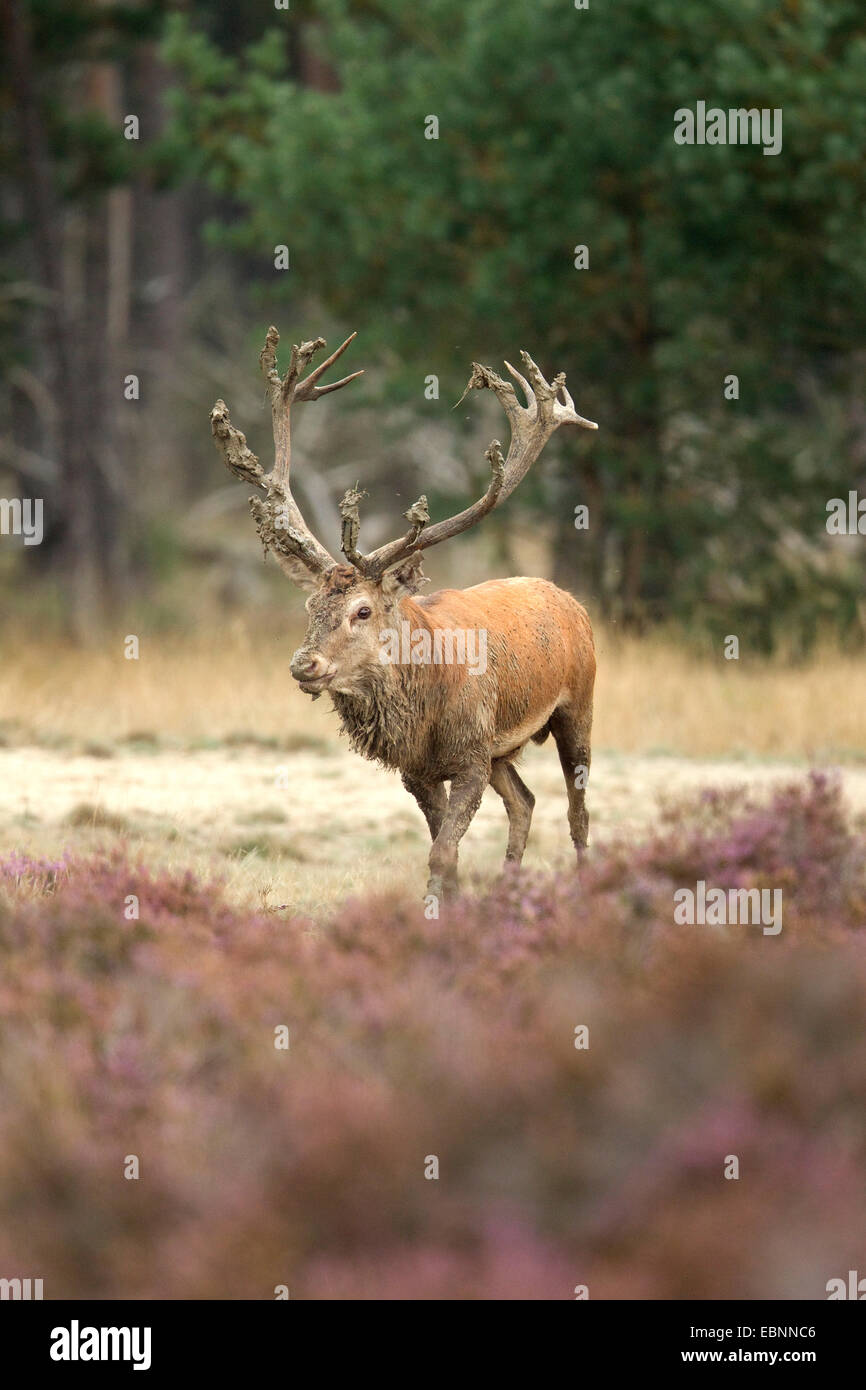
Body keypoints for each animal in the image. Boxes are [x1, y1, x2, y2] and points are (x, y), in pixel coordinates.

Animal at [210, 327, 598, 902]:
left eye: (362, 610)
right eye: (309, 604)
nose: (304, 665)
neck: (426, 711)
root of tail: (570, 600)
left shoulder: (470, 754)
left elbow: (441, 851)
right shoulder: (420, 770)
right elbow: (445, 851)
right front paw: (451, 904)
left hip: (578, 705)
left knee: (578, 811)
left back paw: (584, 883)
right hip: (502, 751)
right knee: (525, 802)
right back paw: (507, 890)